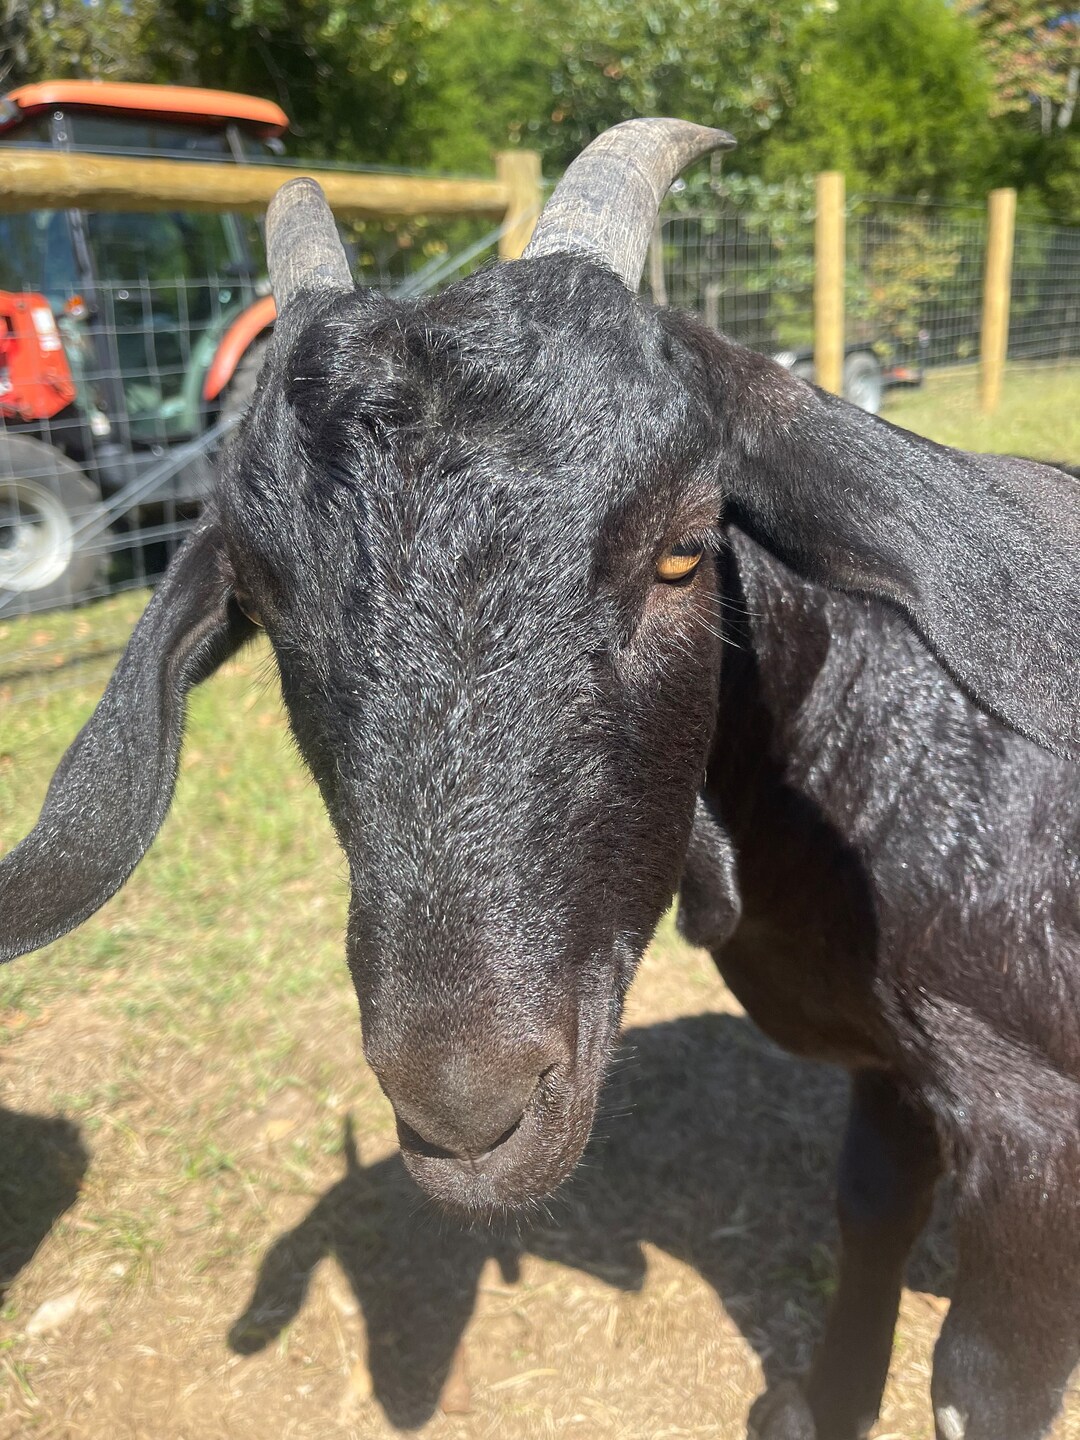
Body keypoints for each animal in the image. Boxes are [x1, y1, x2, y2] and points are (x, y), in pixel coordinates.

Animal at [1, 120, 1077, 1439]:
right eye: (260, 597)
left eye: (685, 546)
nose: (467, 1110)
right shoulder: (899, 1067)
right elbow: (871, 1211)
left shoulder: (1036, 1121)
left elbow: (985, 1382)